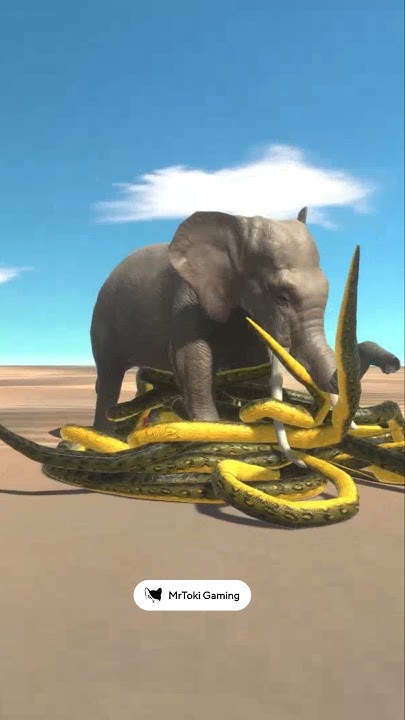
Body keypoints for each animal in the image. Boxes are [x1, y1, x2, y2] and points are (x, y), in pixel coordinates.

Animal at [89, 207, 400, 448]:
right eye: (282, 297)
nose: (393, 364)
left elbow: (255, 365)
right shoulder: (186, 297)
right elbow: (192, 358)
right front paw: (211, 433)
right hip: (103, 319)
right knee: (109, 377)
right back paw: (108, 438)